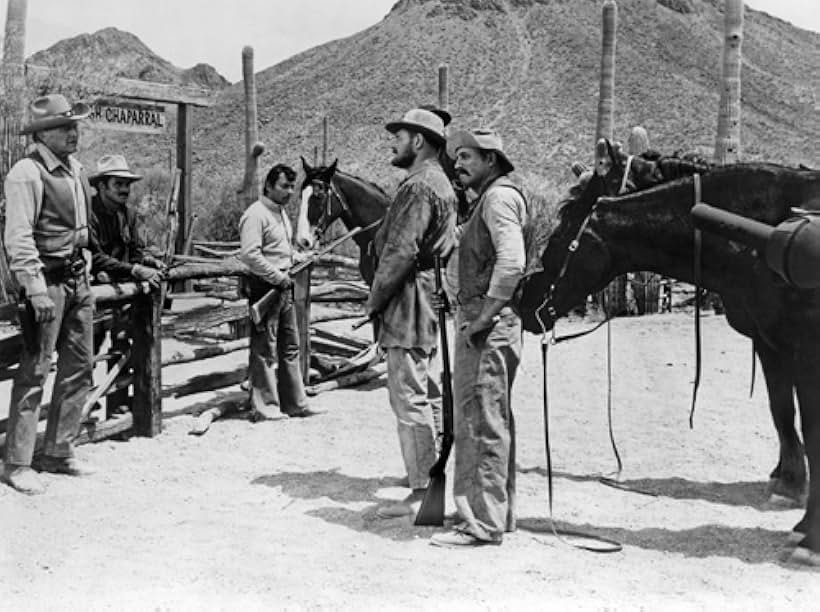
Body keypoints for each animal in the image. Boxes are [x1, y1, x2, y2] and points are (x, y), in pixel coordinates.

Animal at [520, 163, 820, 564]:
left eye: (562, 233)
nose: (523, 298)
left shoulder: (801, 354)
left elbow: (806, 429)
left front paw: (803, 522)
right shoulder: (772, 345)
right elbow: (782, 412)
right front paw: (787, 481)